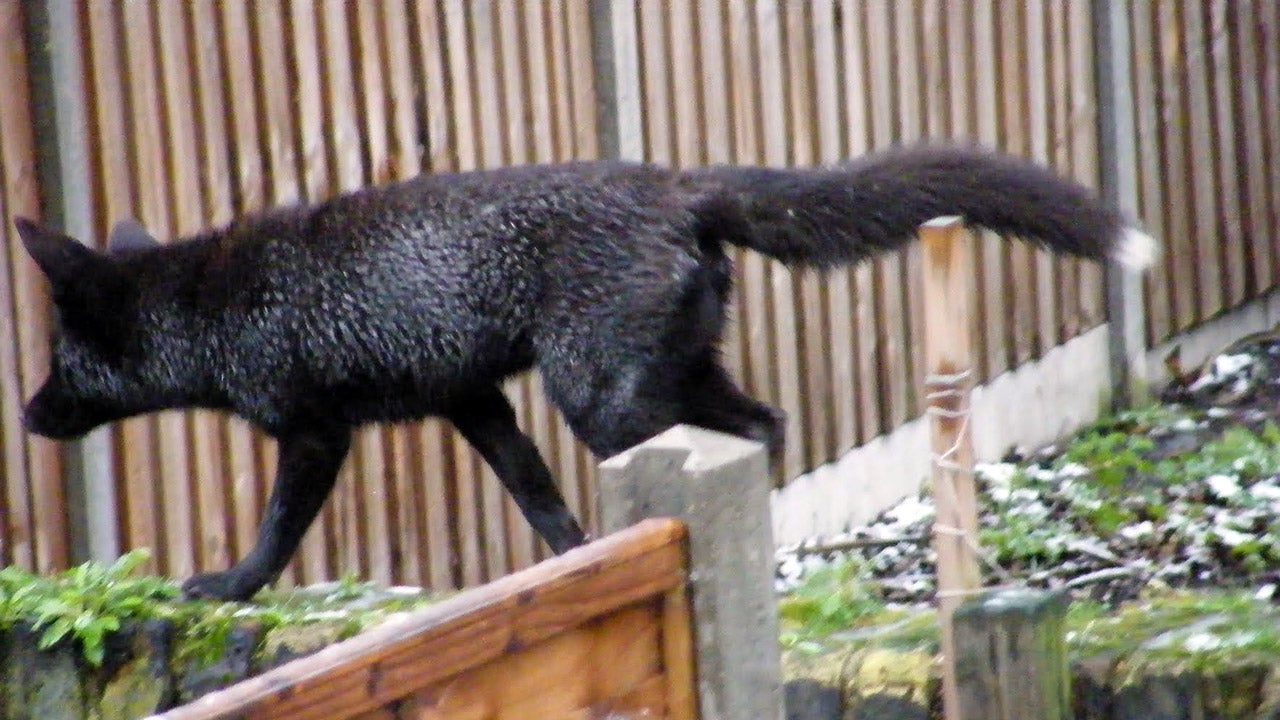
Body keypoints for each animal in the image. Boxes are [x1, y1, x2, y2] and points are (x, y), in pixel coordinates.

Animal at [13, 144, 1156, 601]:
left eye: (63, 361)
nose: (24, 416)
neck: (218, 303)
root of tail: (675, 184)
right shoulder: (470, 399)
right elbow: (540, 500)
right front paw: (573, 569)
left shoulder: (315, 430)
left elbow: (276, 532)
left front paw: (231, 585)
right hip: (656, 384)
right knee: (764, 426)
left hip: (605, 401)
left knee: (732, 439)